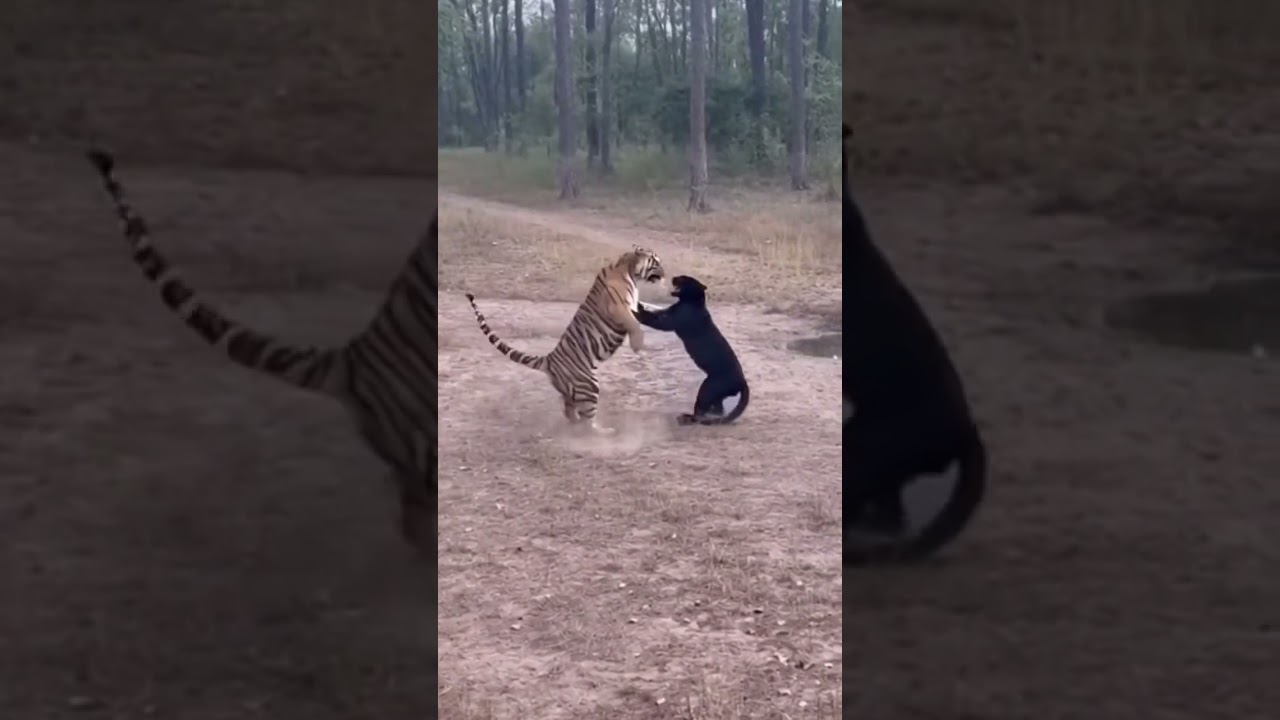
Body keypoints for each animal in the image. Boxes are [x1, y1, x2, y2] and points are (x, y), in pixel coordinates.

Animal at [464, 245, 664, 432]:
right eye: (656, 262)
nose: (665, 274)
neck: (629, 268)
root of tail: (549, 359)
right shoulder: (618, 308)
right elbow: (634, 324)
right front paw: (638, 344)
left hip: (570, 391)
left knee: (570, 413)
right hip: (589, 386)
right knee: (587, 421)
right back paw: (603, 431)